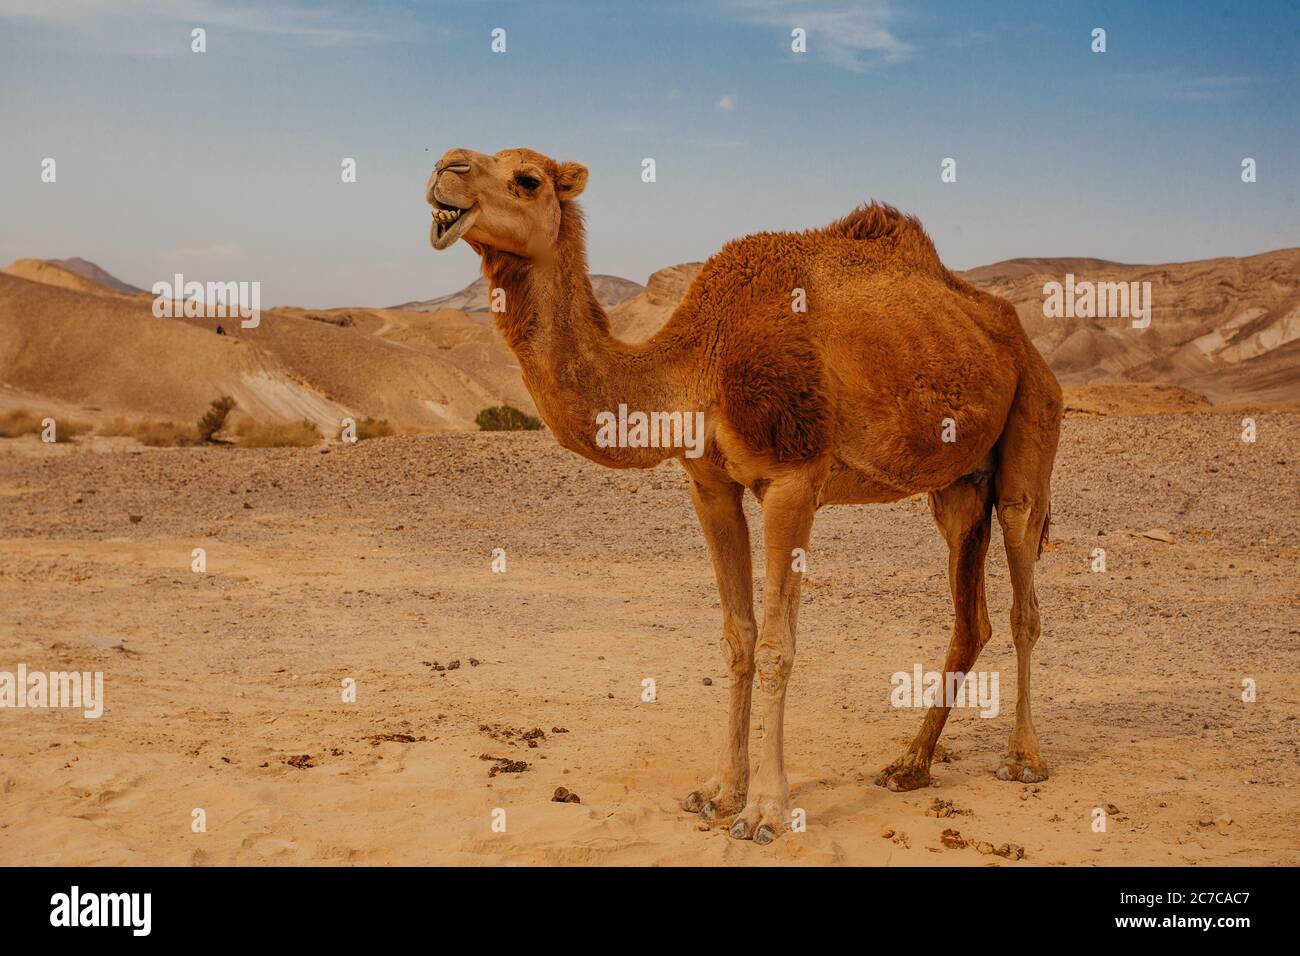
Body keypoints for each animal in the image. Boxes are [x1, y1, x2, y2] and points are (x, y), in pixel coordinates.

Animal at [426, 147, 1063, 845]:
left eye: (528, 179)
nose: (446, 168)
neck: (698, 362)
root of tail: (1021, 338)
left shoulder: (793, 478)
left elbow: (778, 644)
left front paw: (765, 810)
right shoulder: (709, 483)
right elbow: (738, 637)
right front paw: (717, 792)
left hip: (1032, 422)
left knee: (1023, 598)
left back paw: (1024, 759)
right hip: (956, 488)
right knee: (970, 616)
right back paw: (910, 764)